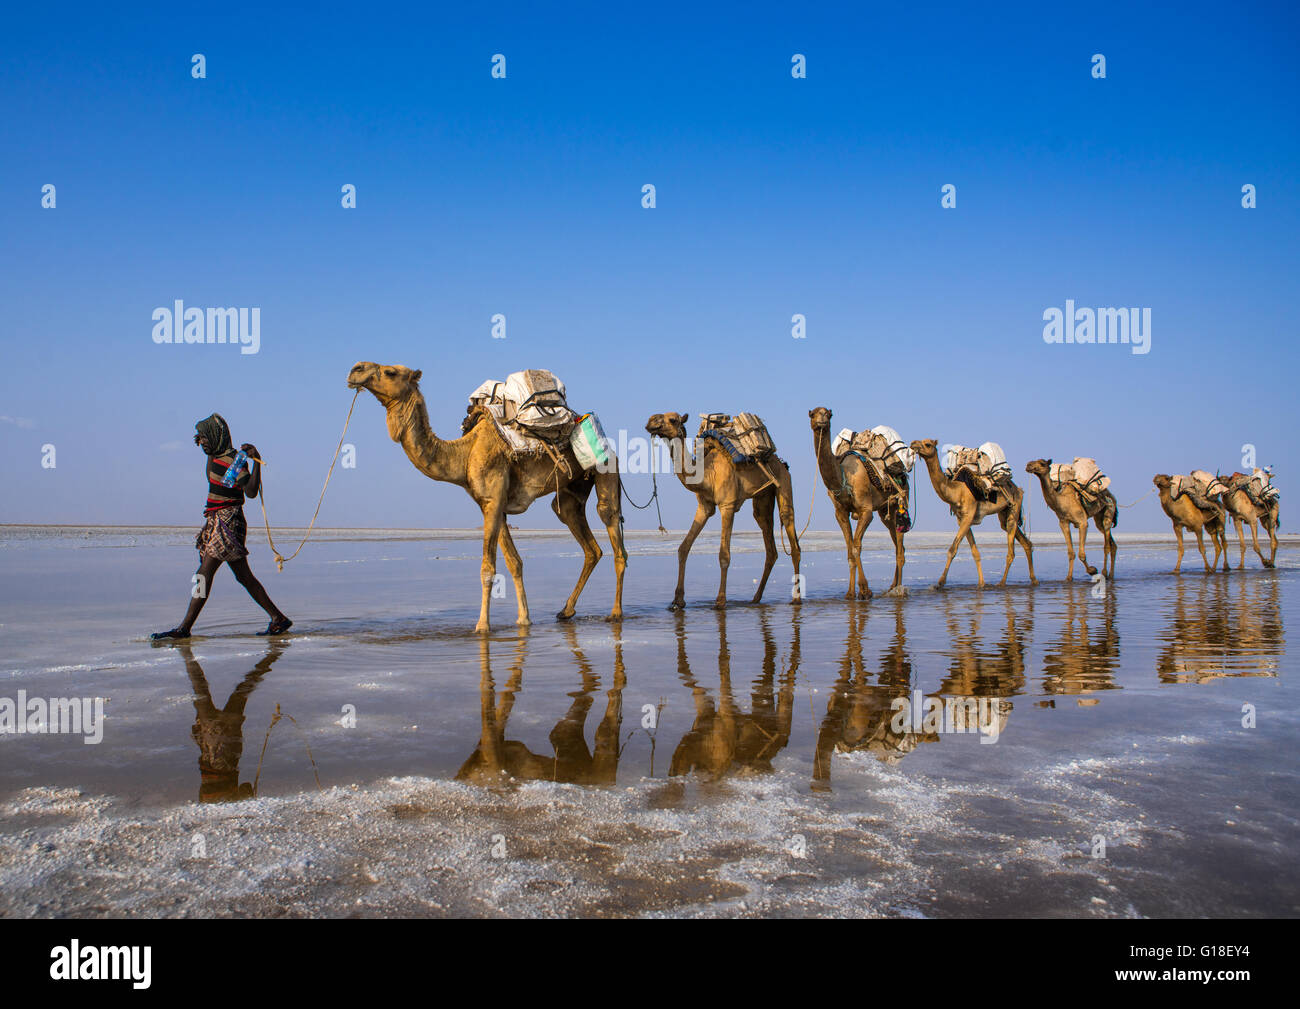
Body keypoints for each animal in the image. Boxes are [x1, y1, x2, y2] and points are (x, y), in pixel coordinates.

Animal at [348, 362, 625, 632]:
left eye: (390, 372)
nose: (355, 370)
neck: (465, 453)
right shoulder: (494, 504)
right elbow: (514, 562)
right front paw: (524, 619)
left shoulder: (492, 500)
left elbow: (487, 567)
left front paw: (482, 626)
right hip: (571, 491)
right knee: (584, 538)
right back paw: (566, 611)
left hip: (606, 468)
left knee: (612, 530)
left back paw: (615, 613)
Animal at [644, 412, 801, 609]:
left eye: (672, 419)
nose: (651, 421)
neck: (706, 475)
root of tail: (781, 462)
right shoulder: (704, 507)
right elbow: (683, 548)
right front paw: (677, 600)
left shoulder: (728, 505)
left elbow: (724, 555)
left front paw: (720, 600)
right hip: (763, 498)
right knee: (769, 543)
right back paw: (755, 598)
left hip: (784, 484)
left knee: (792, 535)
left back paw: (796, 598)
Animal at [808, 407, 909, 598]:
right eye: (812, 414)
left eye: (829, 414)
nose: (821, 420)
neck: (843, 477)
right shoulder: (840, 513)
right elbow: (849, 550)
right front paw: (850, 593)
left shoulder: (866, 511)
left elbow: (856, 547)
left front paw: (864, 590)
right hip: (884, 510)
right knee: (896, 541)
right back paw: (892, 586)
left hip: (900, 501)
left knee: (900, 546)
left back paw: (899, 589)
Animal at [909, 439, 1036, 588]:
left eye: (928, 444)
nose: (913, 443)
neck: (957, 491)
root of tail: (1019, 489)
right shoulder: (962, 519)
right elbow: (975, 552)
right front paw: (981, 583)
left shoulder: (969, 515)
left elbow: (952, 549)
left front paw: (939, 583)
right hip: (1004, 513)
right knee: (1025, 542)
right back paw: (1034, 580)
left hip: (1014, 508)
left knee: (1011, 552)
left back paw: (1002, 582)